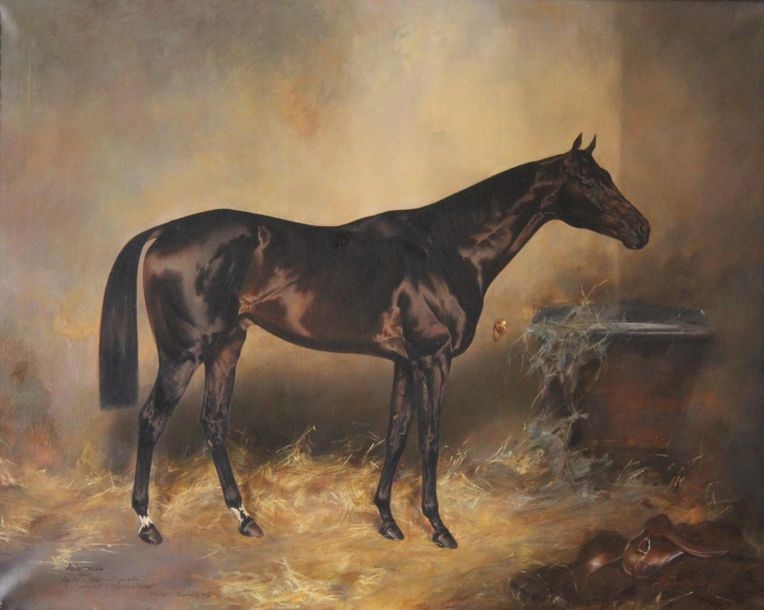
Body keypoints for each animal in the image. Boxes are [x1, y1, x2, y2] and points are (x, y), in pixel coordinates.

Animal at [99, 135, 649, 548]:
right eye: (588, 180)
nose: (641, 229)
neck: (445, 248)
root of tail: (167, 231)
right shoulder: (433, 359)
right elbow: (429, 439)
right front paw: (438, 526)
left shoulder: (405, 362)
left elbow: (397, 433)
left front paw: (387, 520)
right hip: (184, 353)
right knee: (152, 420)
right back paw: (148, 523)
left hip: (227, 345)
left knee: (213, 421)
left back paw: (245, 517)